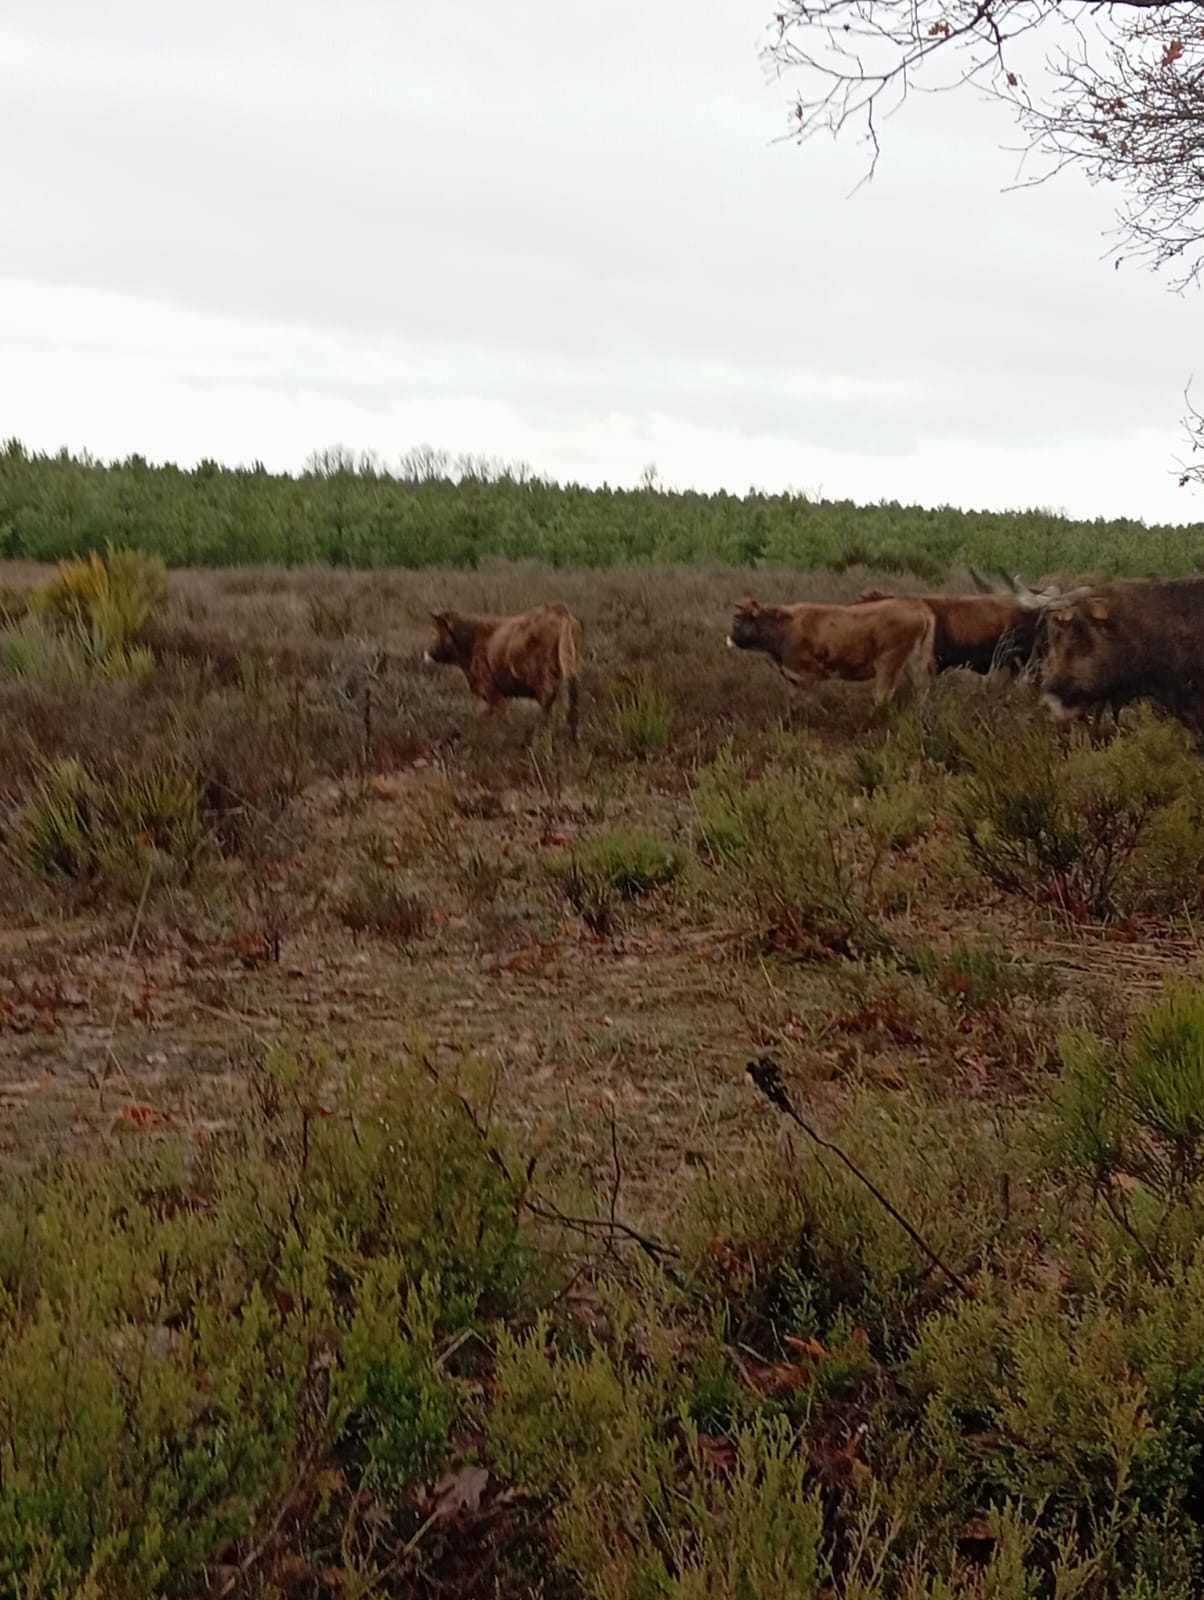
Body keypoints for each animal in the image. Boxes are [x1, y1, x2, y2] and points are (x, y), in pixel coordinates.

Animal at [424, 603, 582, 739]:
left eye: (435, 632)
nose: (430, 651)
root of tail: (558, 609)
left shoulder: (491, 690)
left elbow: (502, 714)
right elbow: (480, 715)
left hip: (540, 675)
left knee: (548, 699)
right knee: (571, 698)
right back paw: (573, 736)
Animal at [726, 596, 936, 706]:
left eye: (737, 619)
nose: (729, 639)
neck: (785, 626)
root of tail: (915, 604)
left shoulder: (807, 677)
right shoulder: (794, 678)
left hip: (888, 664)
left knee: (883, 694)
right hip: (913, 663)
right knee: (922, 687)